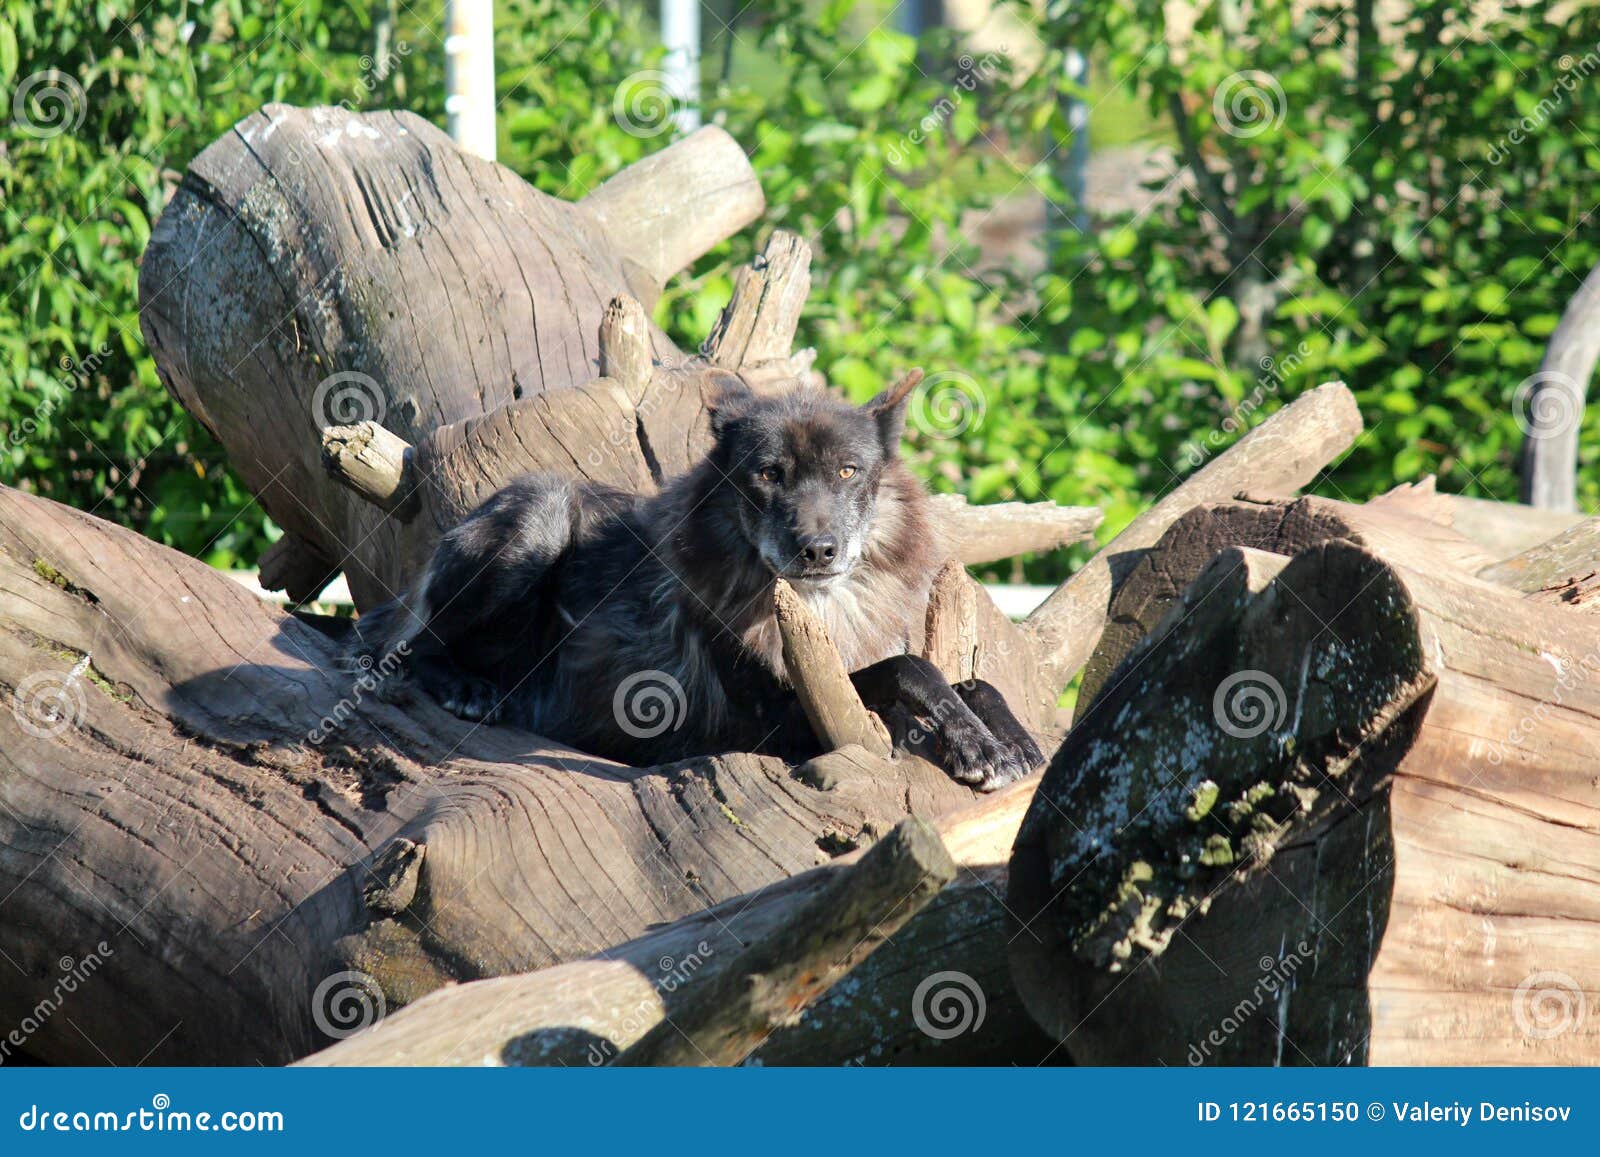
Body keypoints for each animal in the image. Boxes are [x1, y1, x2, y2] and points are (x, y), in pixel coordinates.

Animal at [351, 370, 1043, 790]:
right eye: (768, 473)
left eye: (848, 471)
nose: (817, 551)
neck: (822, 606)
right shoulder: (777, 724)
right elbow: (908, 668)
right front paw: (975, 744)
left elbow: (970, 678)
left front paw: (1010, 738)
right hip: (540, 515)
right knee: (398, 647)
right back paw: (463, 686)